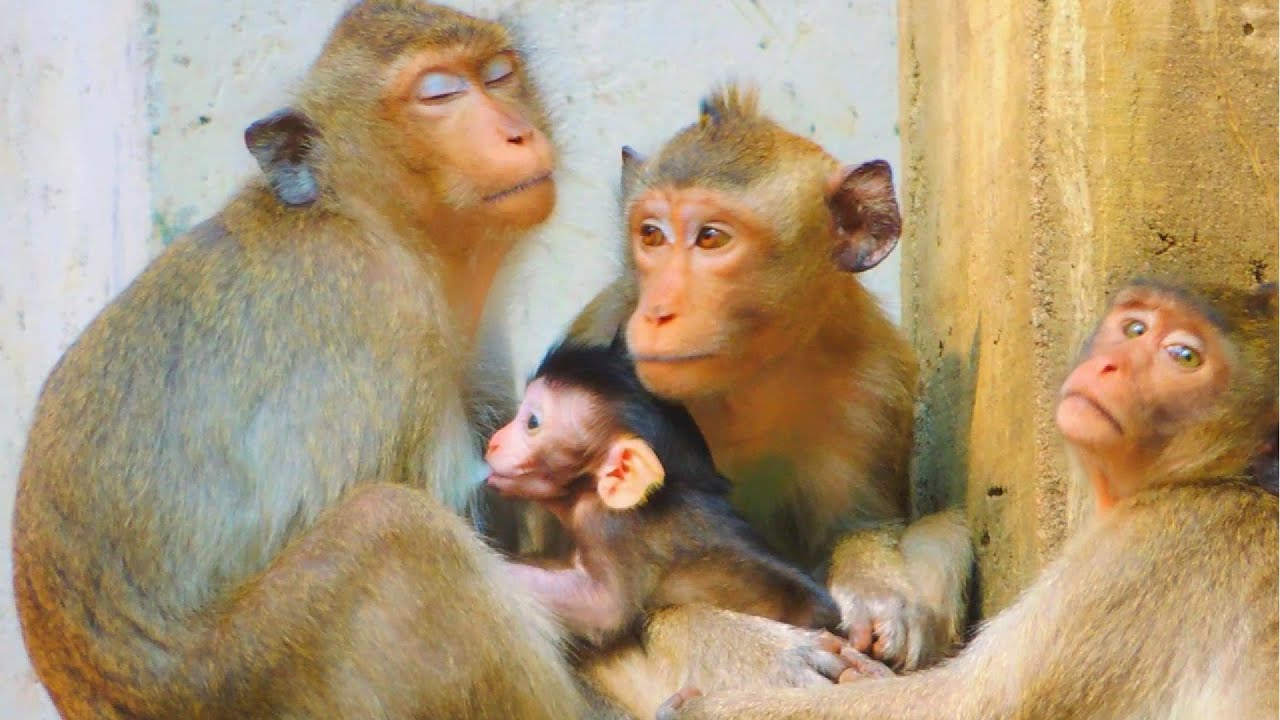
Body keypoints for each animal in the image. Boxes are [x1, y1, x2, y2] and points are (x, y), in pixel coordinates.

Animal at [11, 3, 593, 718]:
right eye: (439, 95)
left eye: (500, 74)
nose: (517, 133)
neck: (365, 217)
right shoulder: (379, 304)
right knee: (391, 528)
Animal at [566, 84, 973, 679]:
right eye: (651, 235)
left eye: (711, 238)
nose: (658, 310)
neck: (747, 379)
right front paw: (780, 654)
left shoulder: (875, 382)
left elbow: (861, 525)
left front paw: (874, 590)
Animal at [658, 279, 1280, 720]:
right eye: (1133, 328)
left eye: (1184, 357)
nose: (1109, 364)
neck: (1213, 477)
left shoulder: (1150, 550)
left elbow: (968, 705)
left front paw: (707, 712)